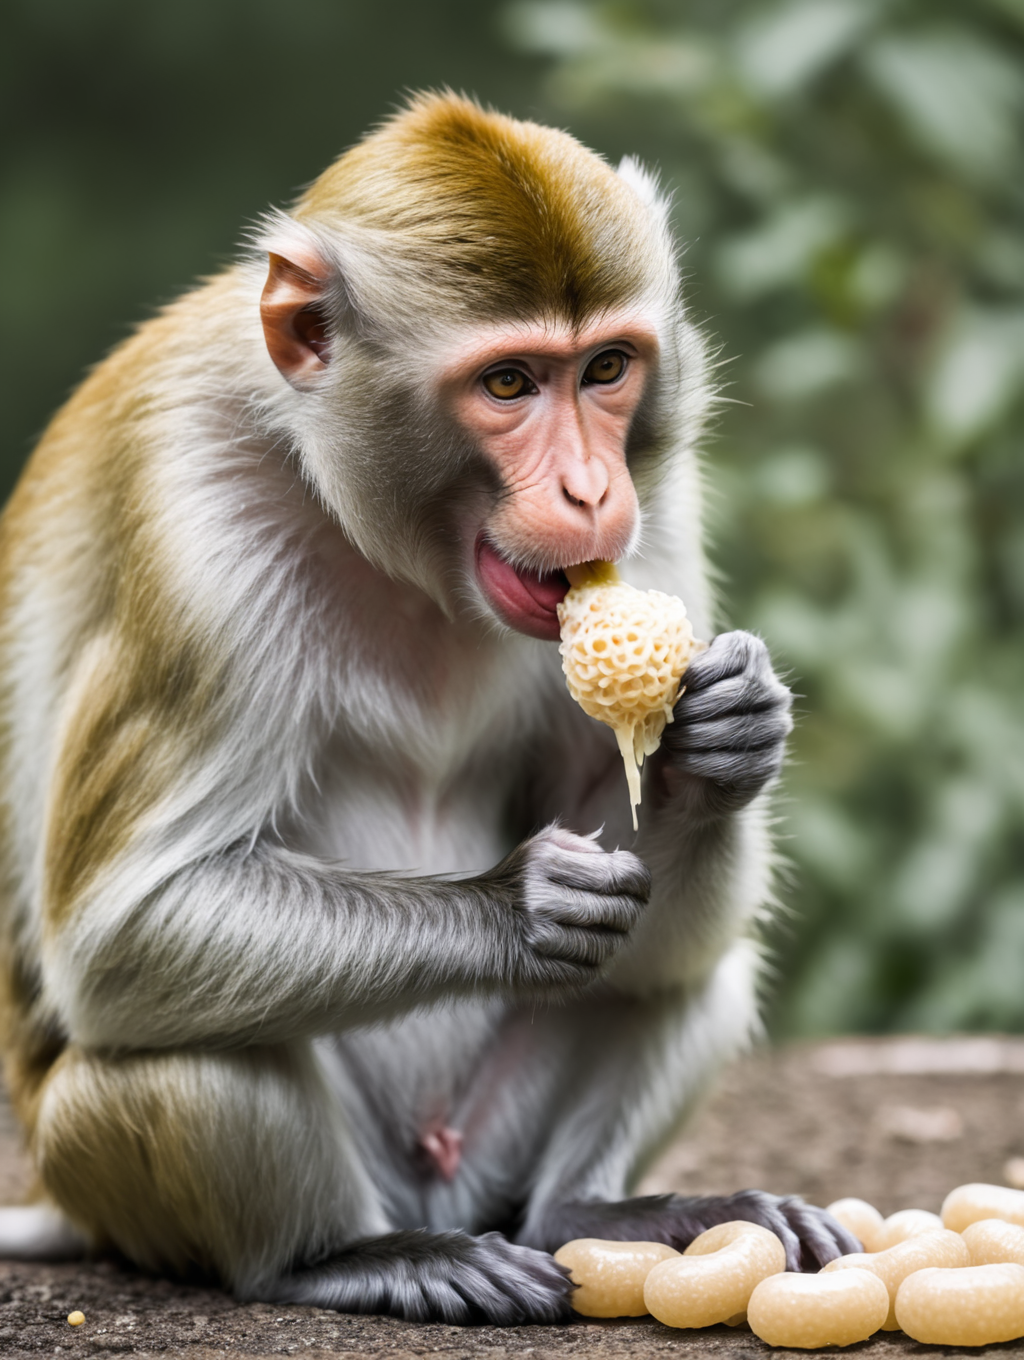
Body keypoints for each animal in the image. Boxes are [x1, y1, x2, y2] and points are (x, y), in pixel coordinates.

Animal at [0, 93, 856, 1324]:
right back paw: (343, 1255)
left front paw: (720, 745)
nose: (592, 491)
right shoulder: (196, 511)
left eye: (605, 368)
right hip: (103, 1156)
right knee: (185, 1059)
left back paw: (592, 1213)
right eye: (508, 385)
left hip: (492, 1139)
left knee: (699, 971)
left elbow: (662, 941)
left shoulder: (662, 500)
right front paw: (523, 906)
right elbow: (122, 933)